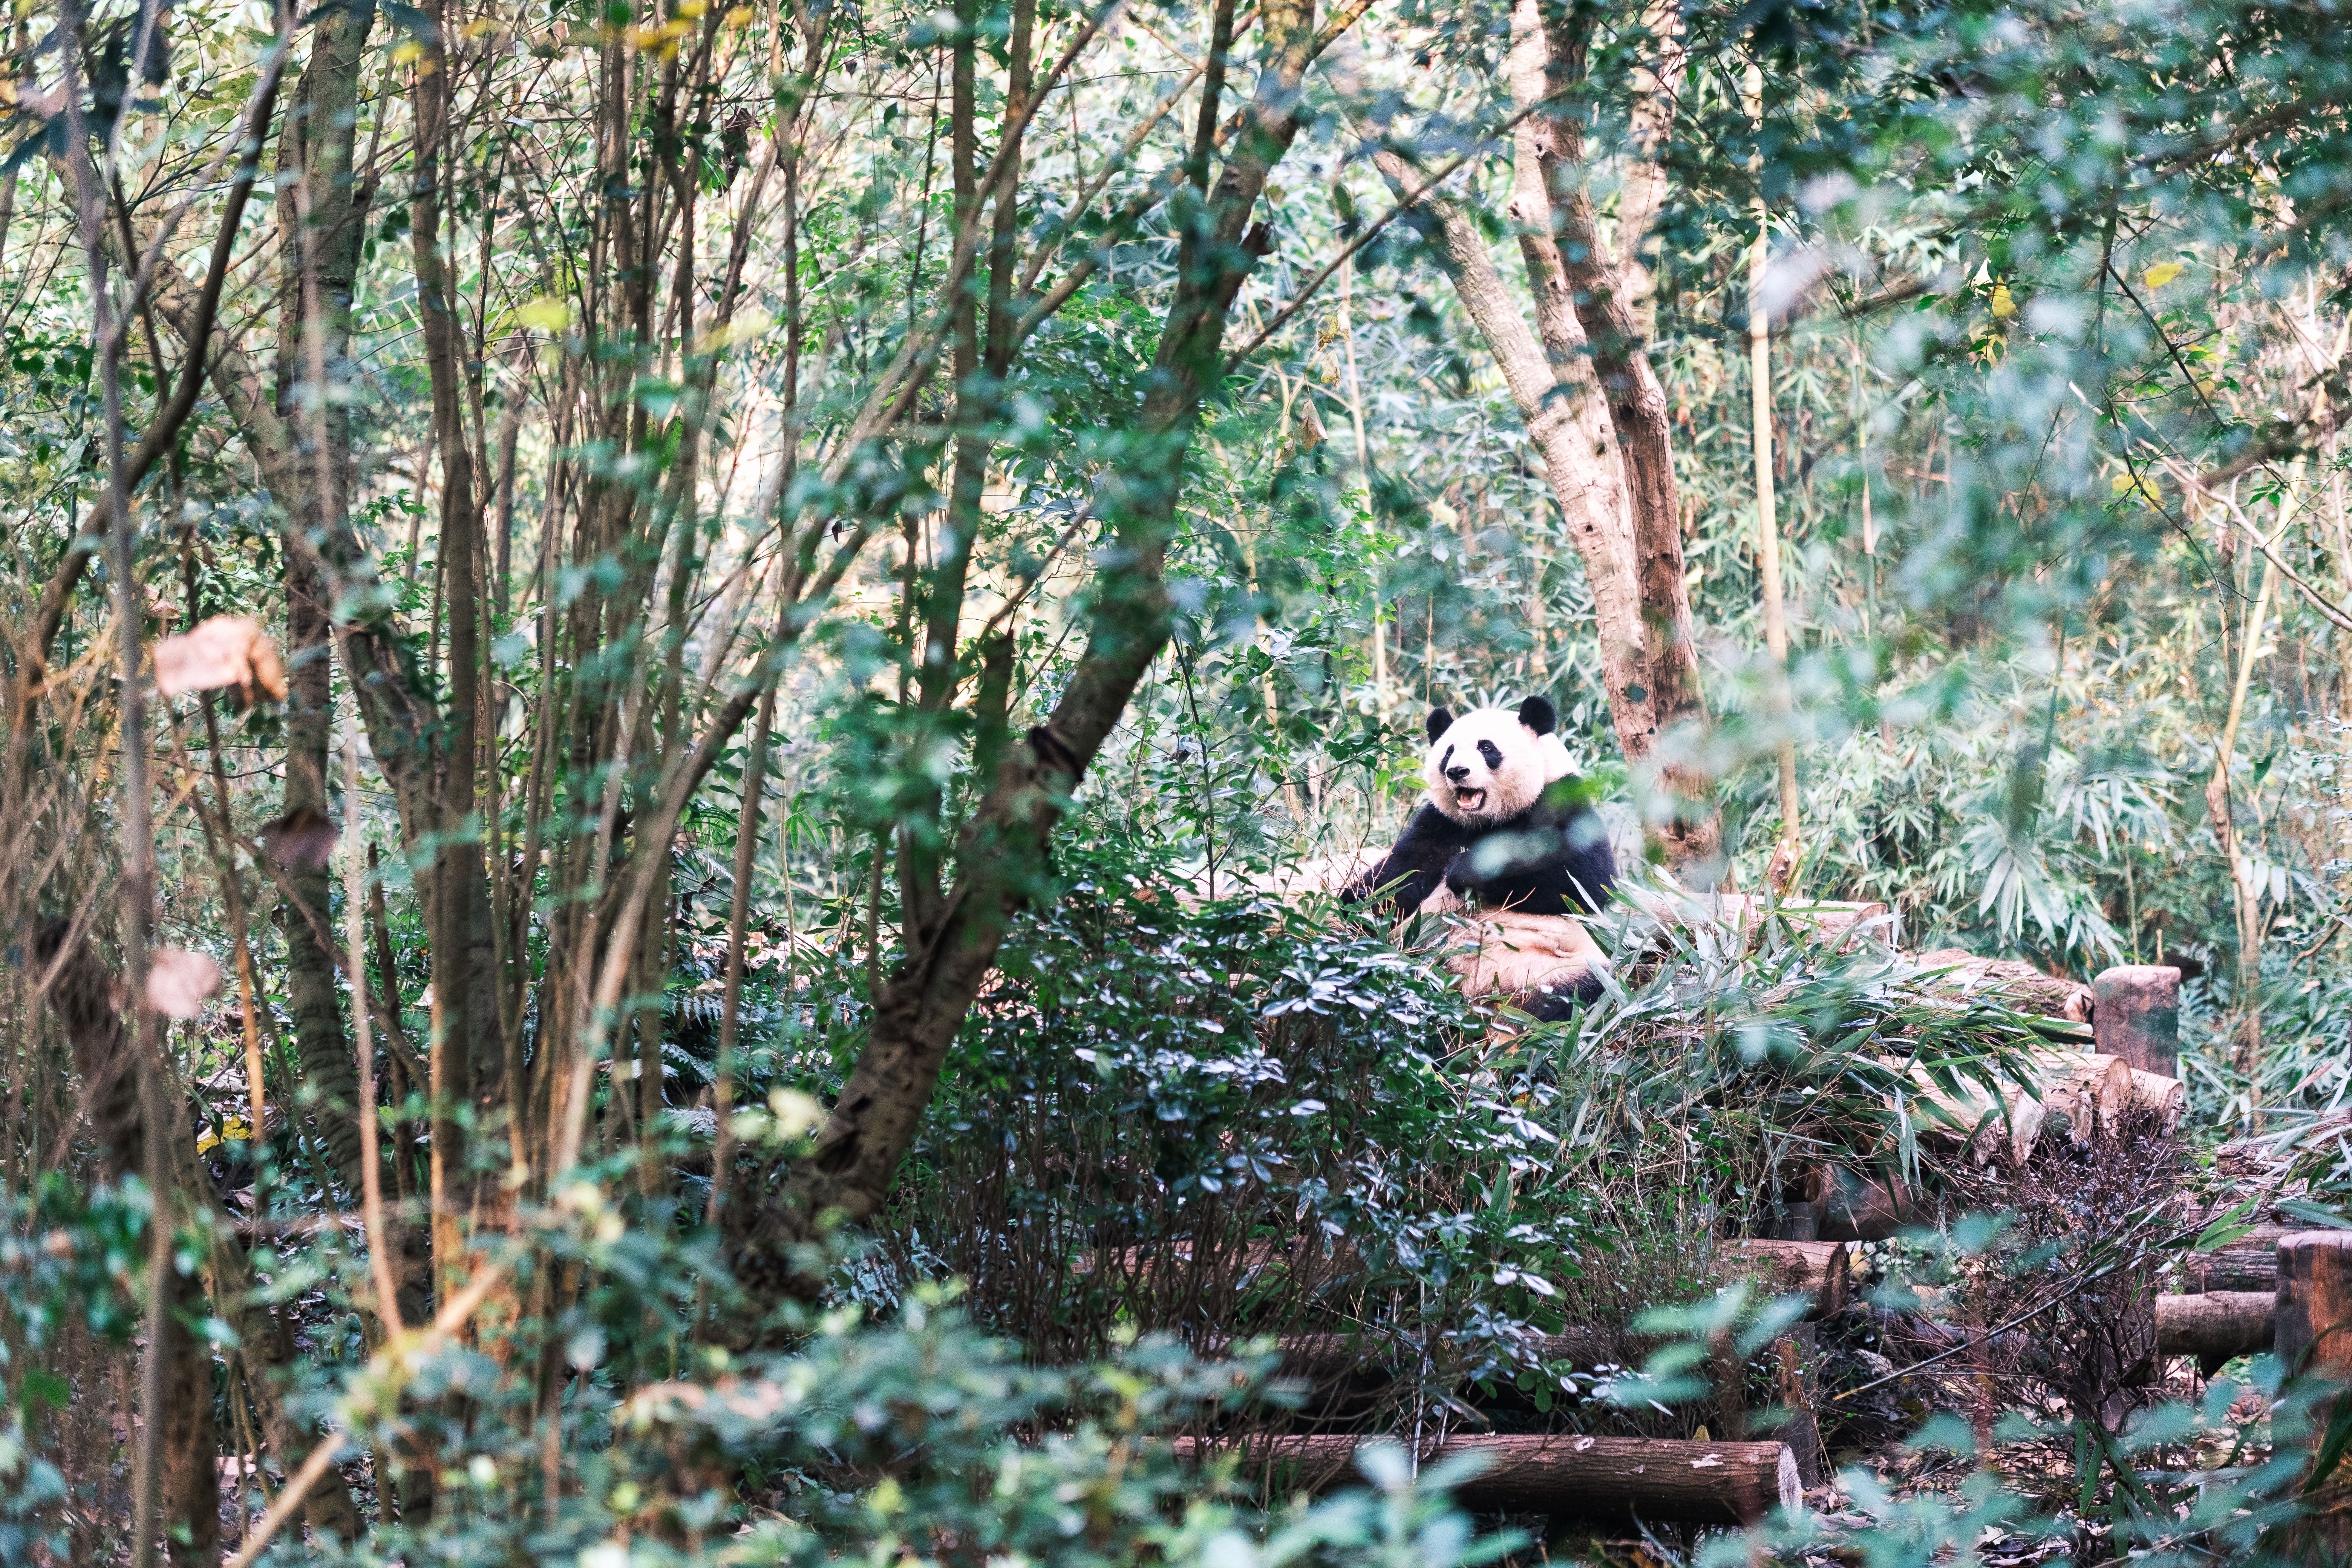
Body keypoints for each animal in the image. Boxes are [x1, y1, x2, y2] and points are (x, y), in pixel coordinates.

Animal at [1343, 695, 1617, 1015]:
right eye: (1449, 752)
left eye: (1486, 748)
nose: (1457, 772)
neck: (1489, 819)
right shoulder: (1443, 824)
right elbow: (1400, 874)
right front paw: (1354, 906)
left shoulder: (1562, 804)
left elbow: (1584, 882)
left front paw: (1463, 872)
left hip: (1558, 968)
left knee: (1577, 993)